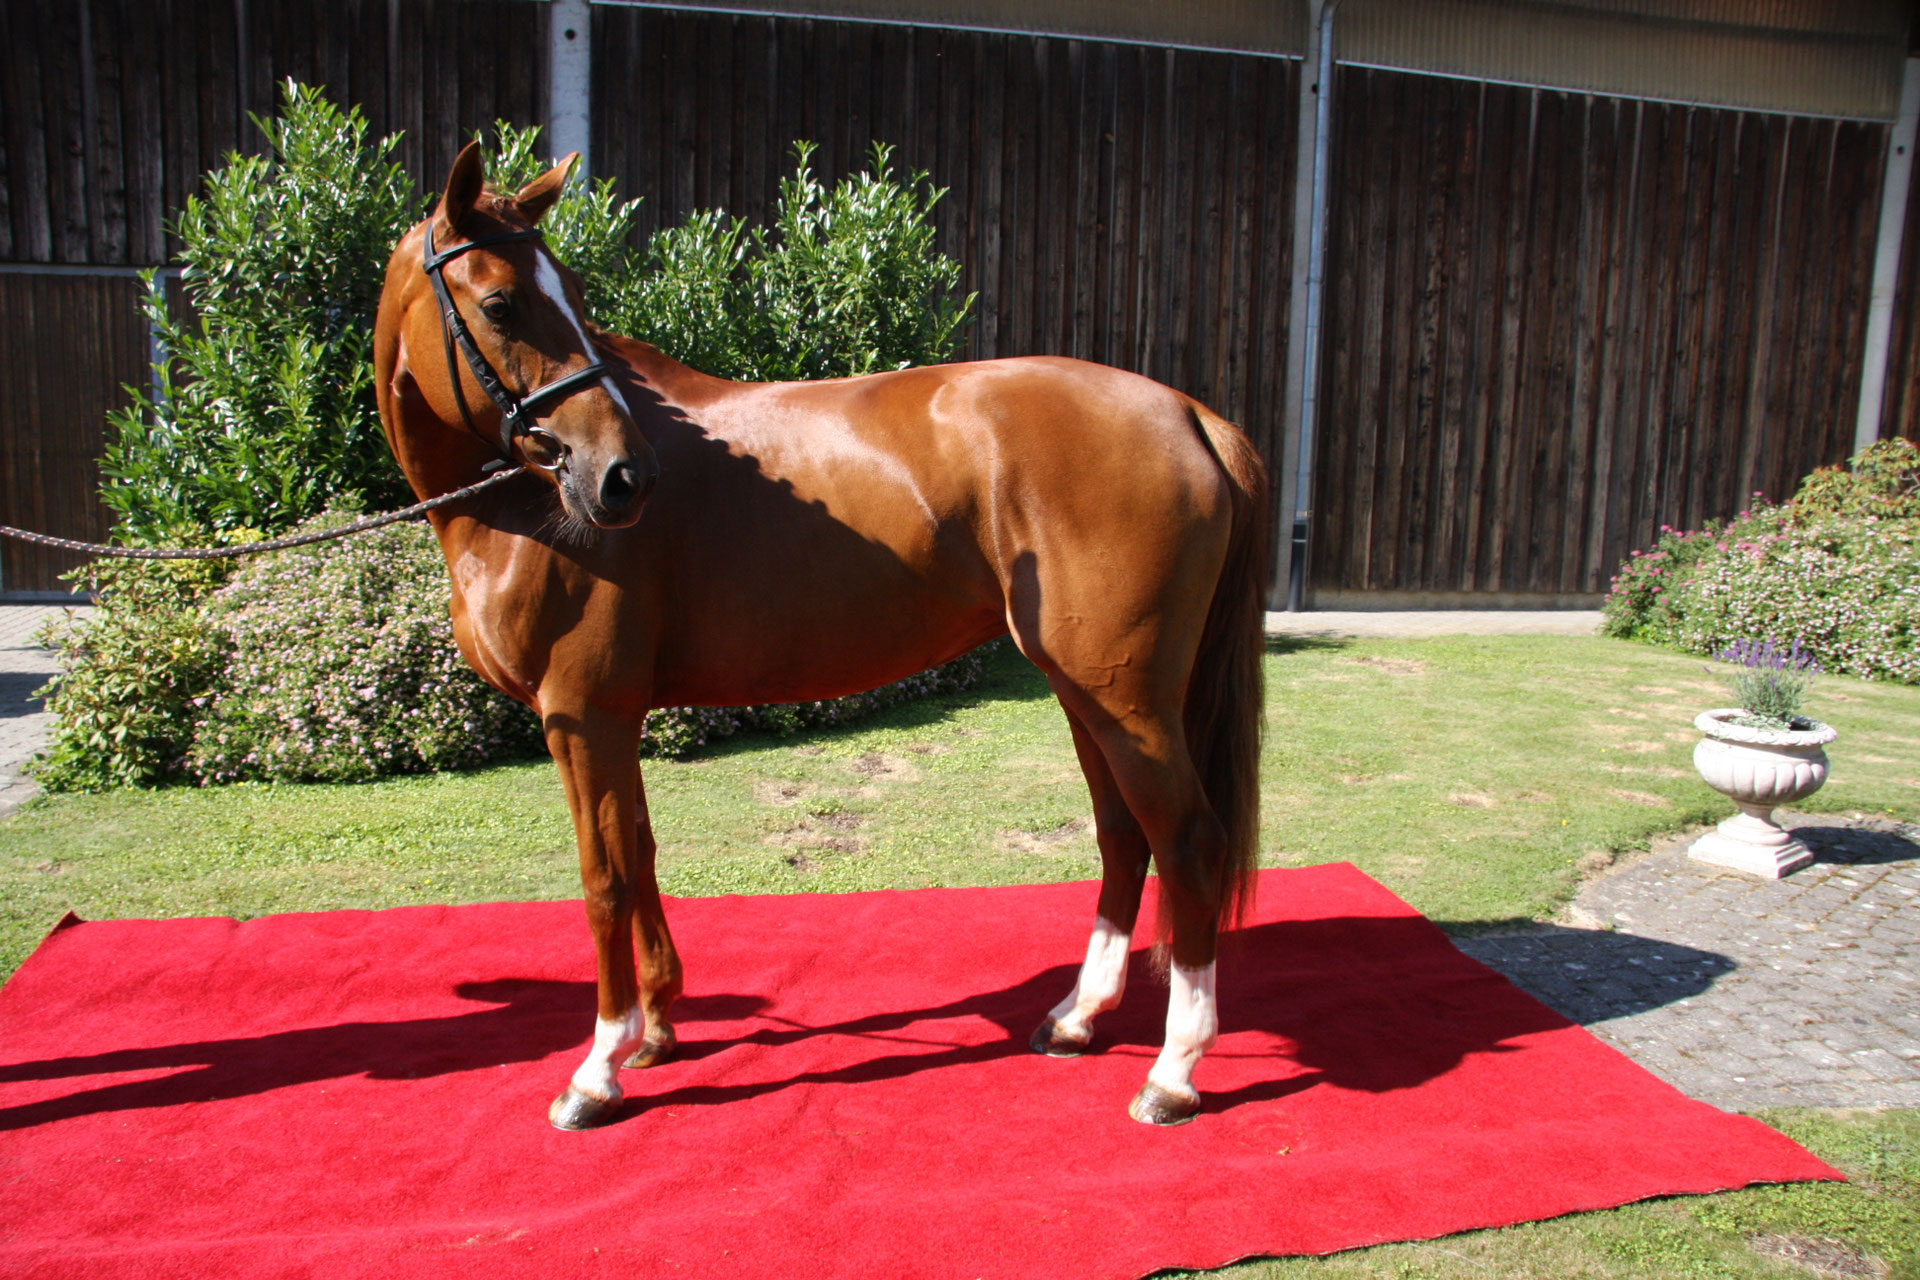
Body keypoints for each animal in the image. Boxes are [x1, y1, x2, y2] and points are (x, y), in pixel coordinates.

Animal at [372, 142, 1269, 1131]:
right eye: (501, 303)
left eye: (566, 291)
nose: (622, 478)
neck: (522, 516)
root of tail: (1189, 413)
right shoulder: (615, 719)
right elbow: (640, 854)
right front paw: (655, 1031)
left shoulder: (582, 715)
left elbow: (603, 878)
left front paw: (598, 1068)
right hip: (1089, 695)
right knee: (1123, 837)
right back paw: (1076, 1020)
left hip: (1128, 701)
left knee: (1189, 843)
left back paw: (1173, 1072)